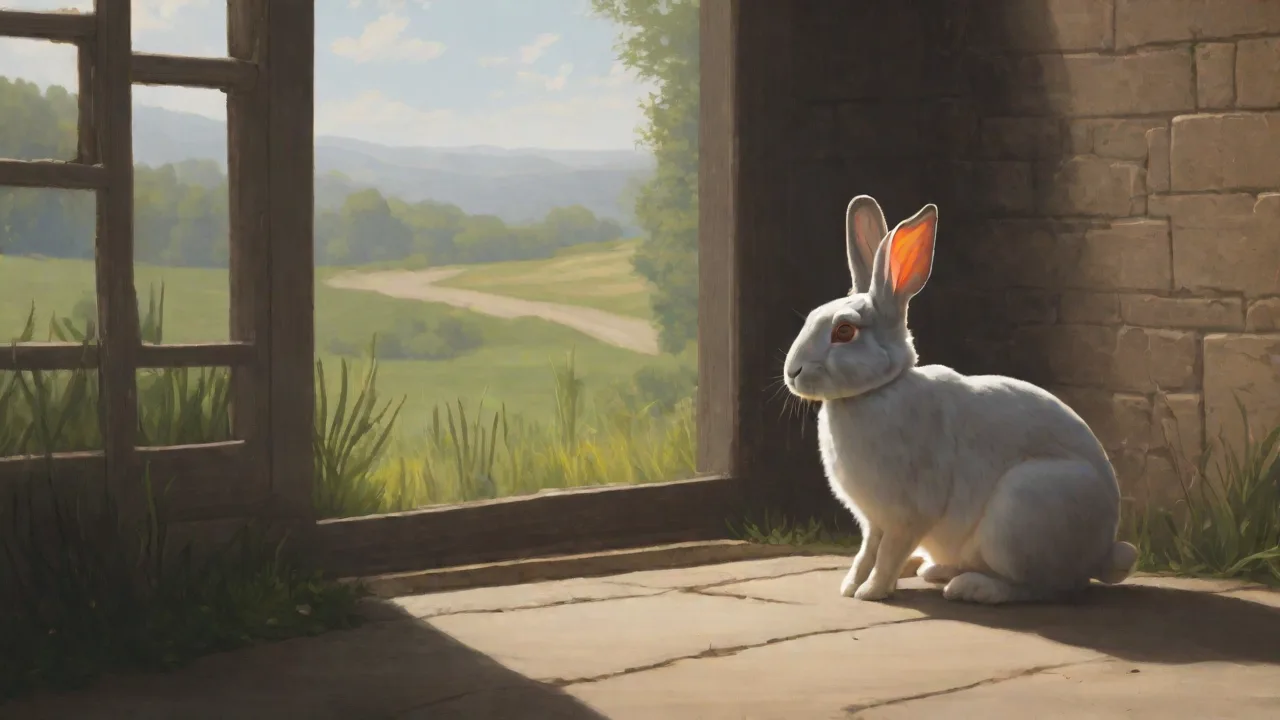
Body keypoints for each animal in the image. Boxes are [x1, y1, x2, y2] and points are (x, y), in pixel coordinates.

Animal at [782, 195, 1138, 605]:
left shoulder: (909, 514)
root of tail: (1103, 551)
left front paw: (872, 592)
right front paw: (851, 586)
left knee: (1043, 586)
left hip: (1021, 513)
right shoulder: (874, 520)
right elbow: (867, 550)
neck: (877, 390)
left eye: (844, 331)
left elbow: (888, 554)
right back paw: (936, 570)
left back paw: (970, 587)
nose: (792, 371)